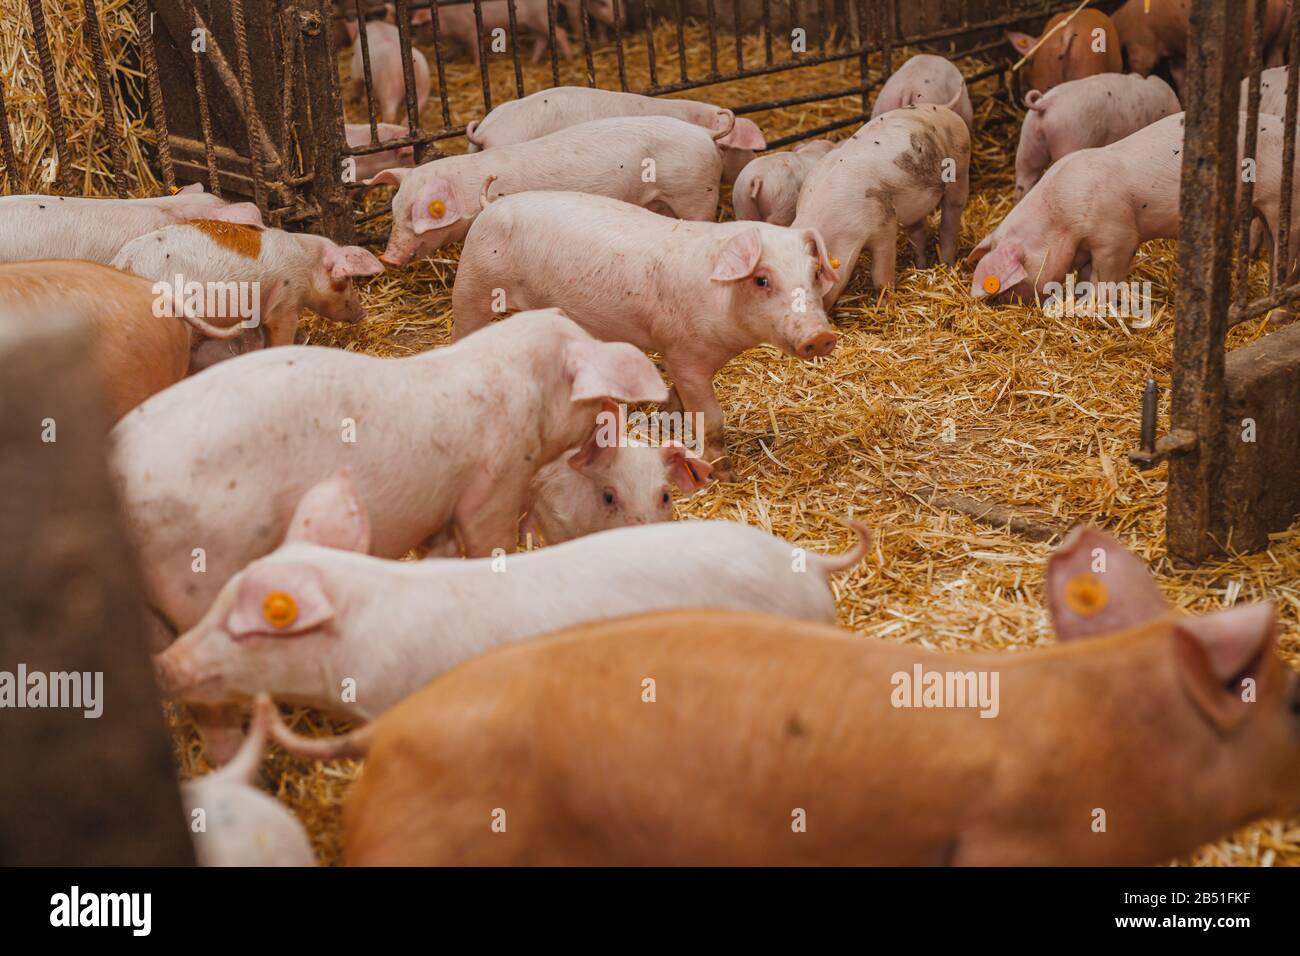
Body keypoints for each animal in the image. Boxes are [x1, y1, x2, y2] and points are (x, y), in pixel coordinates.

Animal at [110, 221, 384, 367]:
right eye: (345, 279)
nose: (362, 313)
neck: (306, 263)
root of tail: (127, 264)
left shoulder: (254, 311)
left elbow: (254, 342)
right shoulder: (286, 301)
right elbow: (279, 336)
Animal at [451, 191, 838, 478]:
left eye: (815, 272)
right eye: (762, 279)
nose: (819, 335)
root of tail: (489, 206)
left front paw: (664, 410)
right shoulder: (683, 353)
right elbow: (711, 420)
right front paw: (724, 475)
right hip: (473, 284)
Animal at [790, 103, 971, 304]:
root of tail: (945, 109)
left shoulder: (884, 227)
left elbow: (881, 274)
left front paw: (884, 302)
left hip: (961, 168)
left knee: (950, 221)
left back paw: (947, 266)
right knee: (918, 234)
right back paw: (921, 268)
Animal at [1115, 0, 1291, 92]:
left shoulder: (1141, 46)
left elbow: (1139, 70)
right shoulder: (1176, 54)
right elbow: (1181, 78)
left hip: (1247, 36)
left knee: (1250, 67)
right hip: (1281, 37)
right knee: (1275, 61)